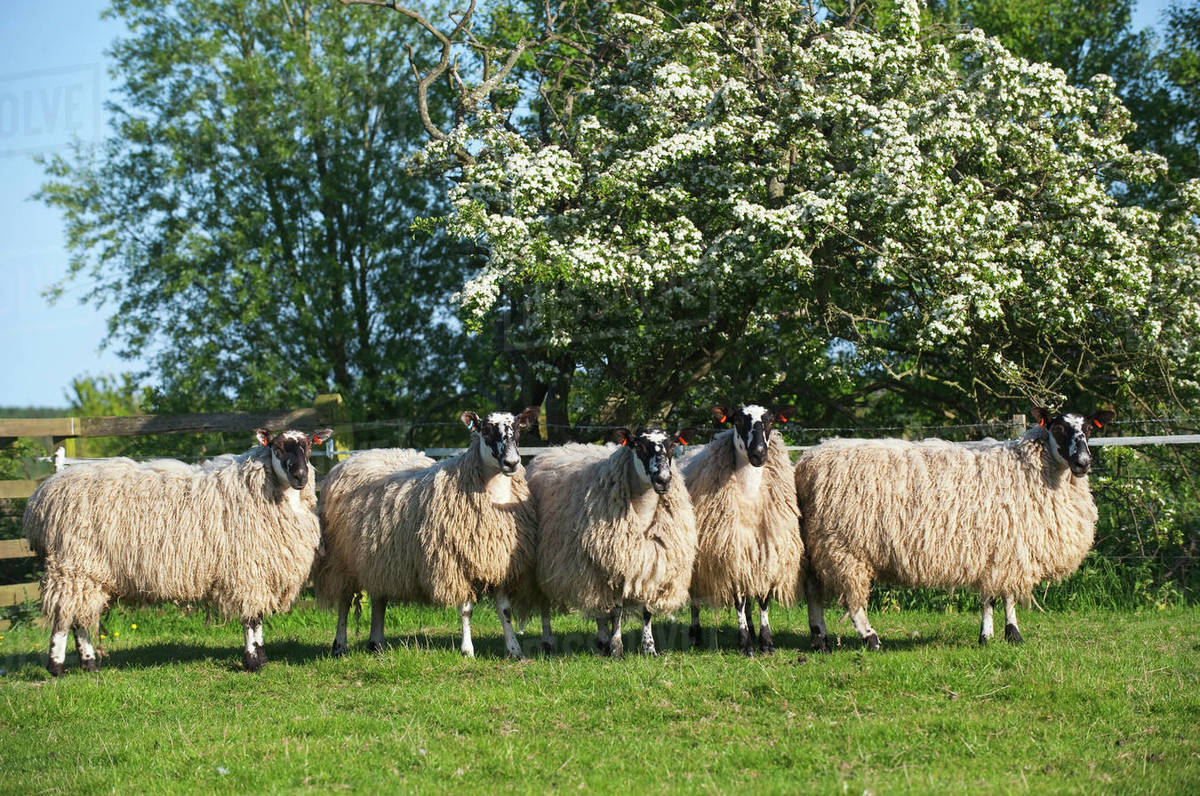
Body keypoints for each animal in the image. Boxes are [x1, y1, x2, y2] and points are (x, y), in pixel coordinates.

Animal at [23, 427, 333, 675]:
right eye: (277, 448)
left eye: (308, 447)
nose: (301, 476)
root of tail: (40, 499)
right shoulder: (246, 572)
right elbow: (251, 619)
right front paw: (253, 662)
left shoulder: (259, 573)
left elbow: (256, 619)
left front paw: (262, 657)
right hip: (72, 566)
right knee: (63, 618)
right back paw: (56, 668)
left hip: (88, 573)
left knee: (79, 619)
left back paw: (88, 665)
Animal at [315, 407, 540, 659]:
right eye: (486, 430)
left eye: (518, 429)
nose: (512, 462)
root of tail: (356, 457)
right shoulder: (455, 563)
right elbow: (466, 610)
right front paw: (467, 650)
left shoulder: (498, 562)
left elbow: (505, 611)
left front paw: (514, 650)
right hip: (341, 560)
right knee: (344, 602)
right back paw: (339, 646)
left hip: (380, 559)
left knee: (379, 598)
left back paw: (377, 643)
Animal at [528, 428, 697, 658]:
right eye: (639, 446)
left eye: (672, 445)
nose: (663, 480)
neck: (643, 514)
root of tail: (550, 451)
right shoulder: (616, 564)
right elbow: (617, 611)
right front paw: (617, 649)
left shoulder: (650, 563)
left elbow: (646, 612)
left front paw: (649, 648)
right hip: (548, 563)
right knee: (546, 604)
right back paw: (547, 642)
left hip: (593, 571)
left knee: (598, 606)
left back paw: (602, 641)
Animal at [683, 404, 804, 656]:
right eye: (738, 420)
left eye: (770, 420)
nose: (758, 454)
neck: (749, 496)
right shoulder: (730, 553)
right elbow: (739, 600)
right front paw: (746, 645)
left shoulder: (766, 552)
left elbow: (763, 600)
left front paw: (766, 642)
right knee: (695, 600)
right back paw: (695, 635)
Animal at [794, 406, 1114, 651]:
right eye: (1058, 427)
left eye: (1089, 427)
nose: (1083, 462)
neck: (1032, 468)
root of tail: (806, 462)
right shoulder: (1010, 548)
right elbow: (1006, 596)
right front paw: (1012, 634)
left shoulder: (994, 550)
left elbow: (992, 596)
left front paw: (989, 636)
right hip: (844, 546)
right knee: (852, 601)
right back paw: (871, 639)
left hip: (819, 546)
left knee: (813, 591)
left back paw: (820, 639)